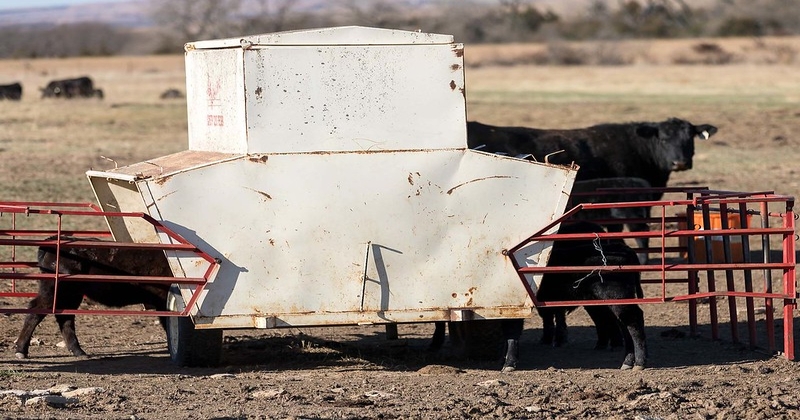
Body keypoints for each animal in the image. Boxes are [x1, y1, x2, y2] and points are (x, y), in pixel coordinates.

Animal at [14, 237, 172, 359]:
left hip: (71, 296)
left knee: (65, 318)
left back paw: (79, 351)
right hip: (54, 292)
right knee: (35, 311)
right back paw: (21, 350)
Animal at [536, 221, 647, 370]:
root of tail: (625, 249)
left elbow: (550, 318)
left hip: (617, 296)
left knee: (633, 320)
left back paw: (639, 362)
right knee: (623, 323)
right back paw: (627, 361)